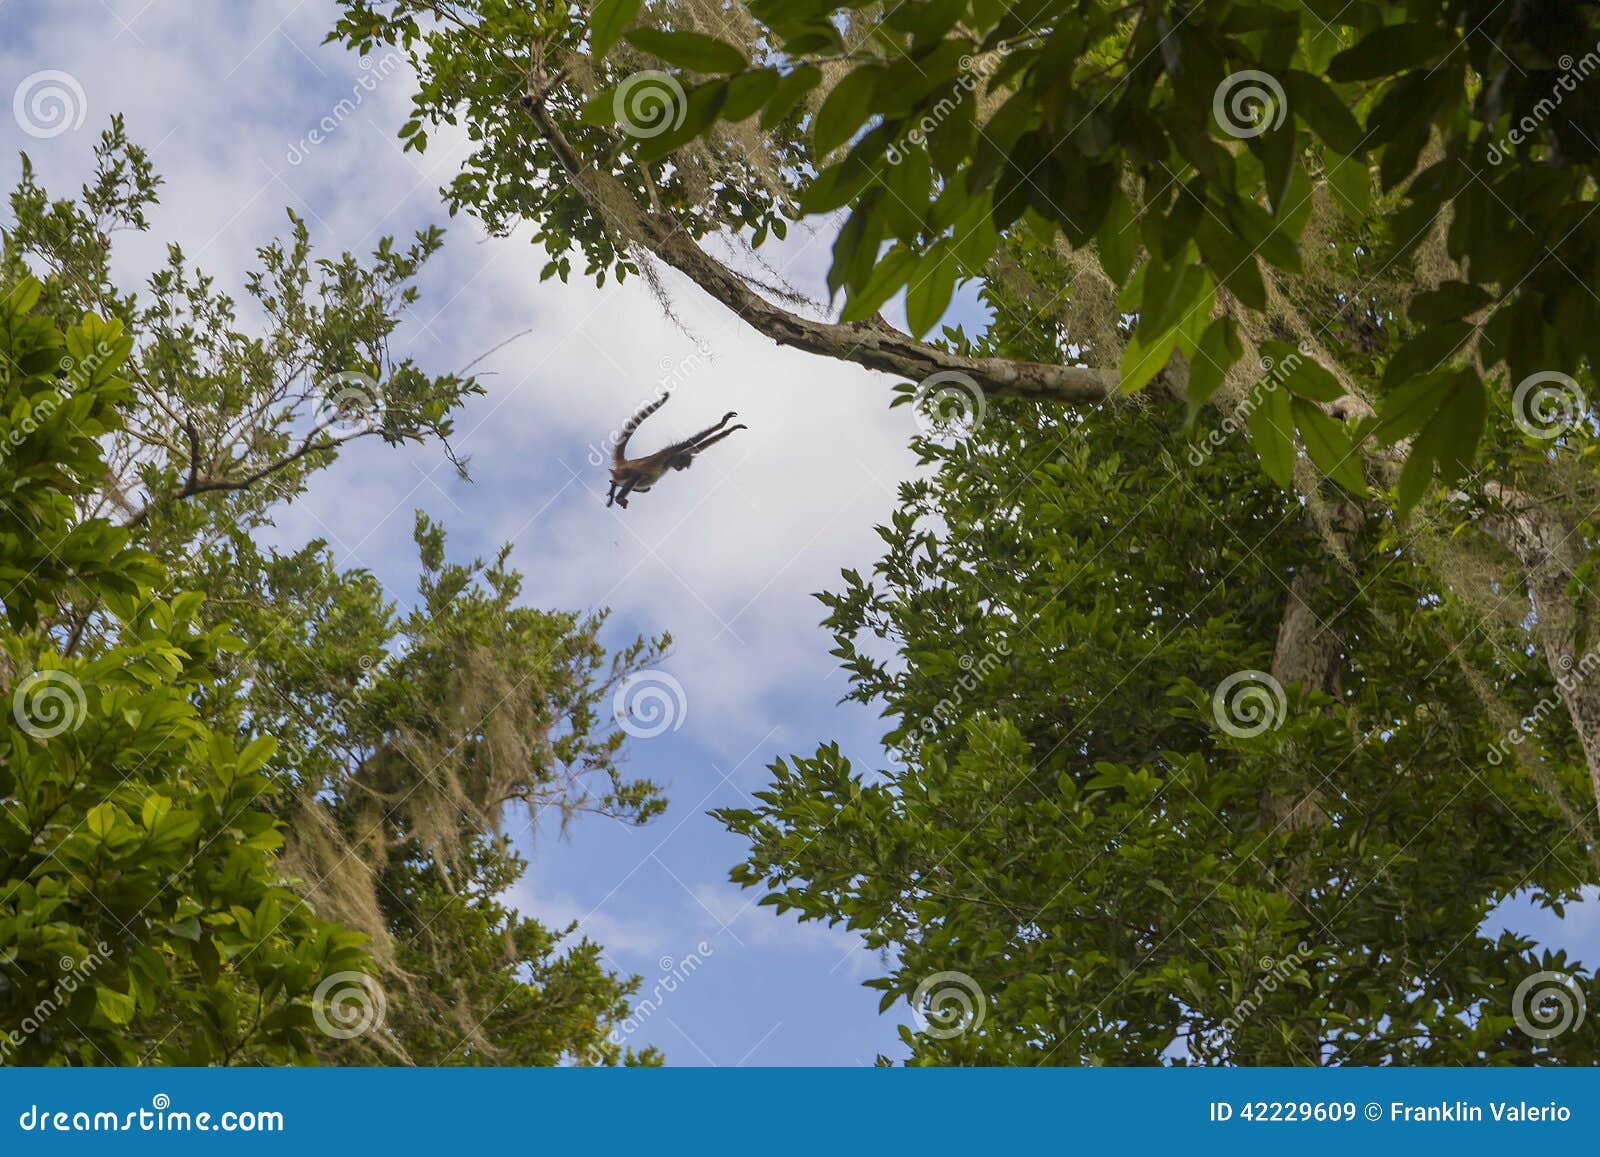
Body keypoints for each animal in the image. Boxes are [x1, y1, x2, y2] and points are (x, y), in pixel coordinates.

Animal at [607, 392, 746, 509]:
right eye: (682, 464)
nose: (680, 469)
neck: (668, 462)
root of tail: (626, 462)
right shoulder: (672, 451)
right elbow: (691, 441)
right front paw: (723, 423)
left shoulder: (682, 452)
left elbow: (696, 447)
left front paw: (729, 428)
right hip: (626, 471)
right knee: (637, 475)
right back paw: (618, 497)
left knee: (642, 487)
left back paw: (613, 486)